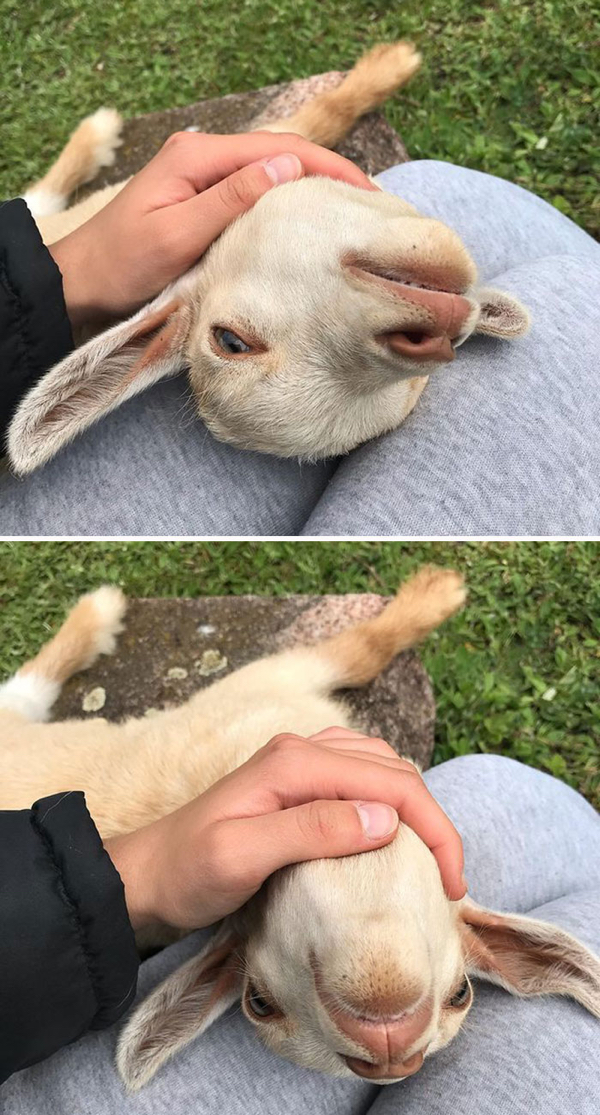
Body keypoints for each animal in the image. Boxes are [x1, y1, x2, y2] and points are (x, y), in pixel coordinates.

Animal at [1, 569, 598, 1092]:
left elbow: (360, 652)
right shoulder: (262, 682)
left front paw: (433, 594)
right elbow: (360, 650)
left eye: (462, 993)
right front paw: (437, 592)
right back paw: (97, 612)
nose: (388, 1040)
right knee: (21, 690)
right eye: (260, 1002)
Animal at [8, 42, 530, 474]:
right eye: (230, 341)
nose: (439, 320)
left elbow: (315, 119)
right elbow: (312, 119)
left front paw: (389, 65)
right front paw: (392, 64)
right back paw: (96, 133)